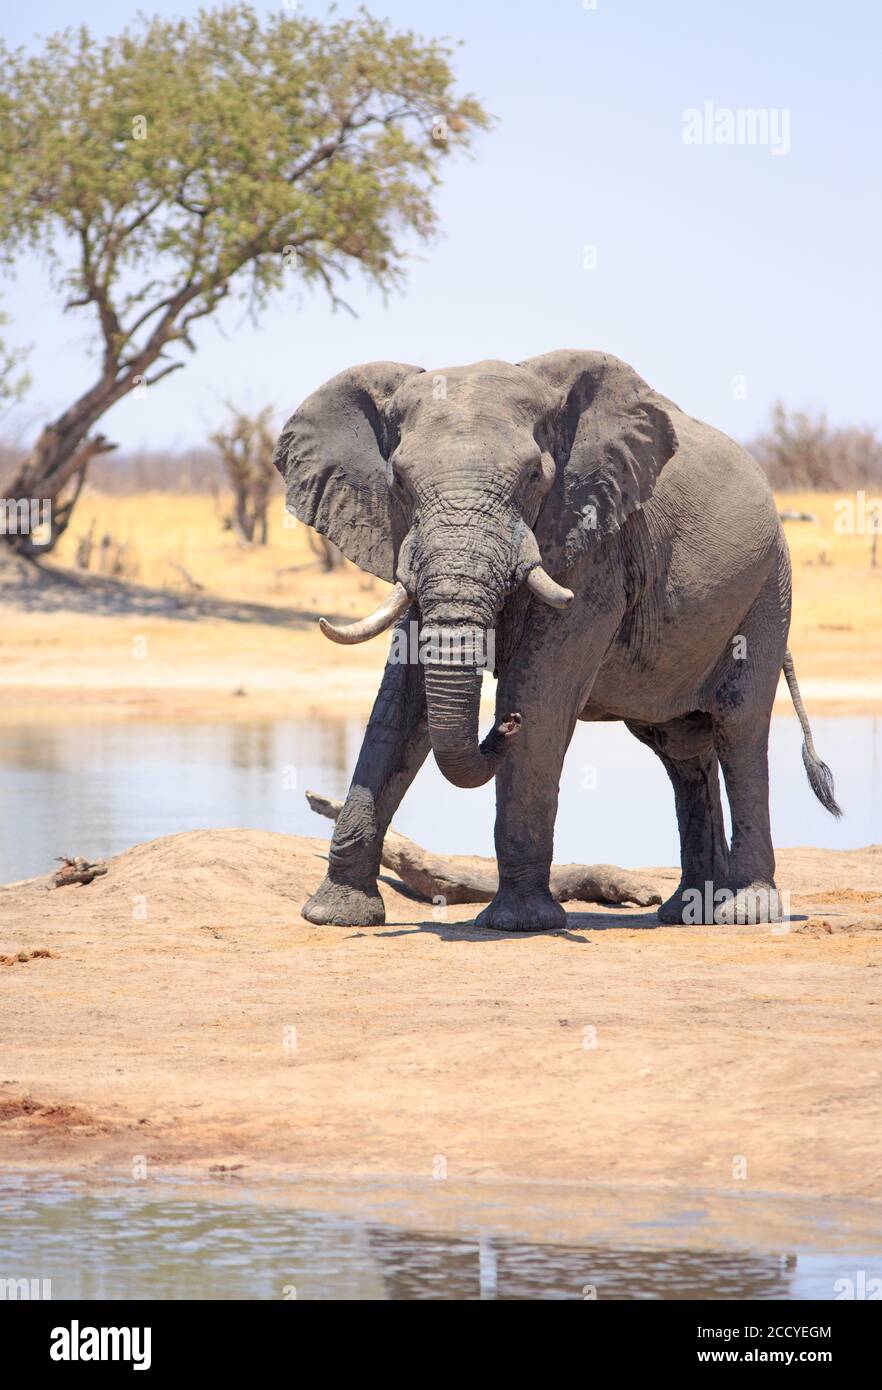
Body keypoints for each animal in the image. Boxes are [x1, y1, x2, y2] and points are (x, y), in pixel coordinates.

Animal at [273, 351, 840, 930]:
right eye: (402, 483)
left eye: (533, 478)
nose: (503, 724)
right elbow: (400, 704)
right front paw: (336, 914)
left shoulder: (596, 547)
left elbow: (541, 696)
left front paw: (520, 922)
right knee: (682, 750)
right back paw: (689, 910)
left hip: (769, 588)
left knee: (739, 728)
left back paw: (746, 910)